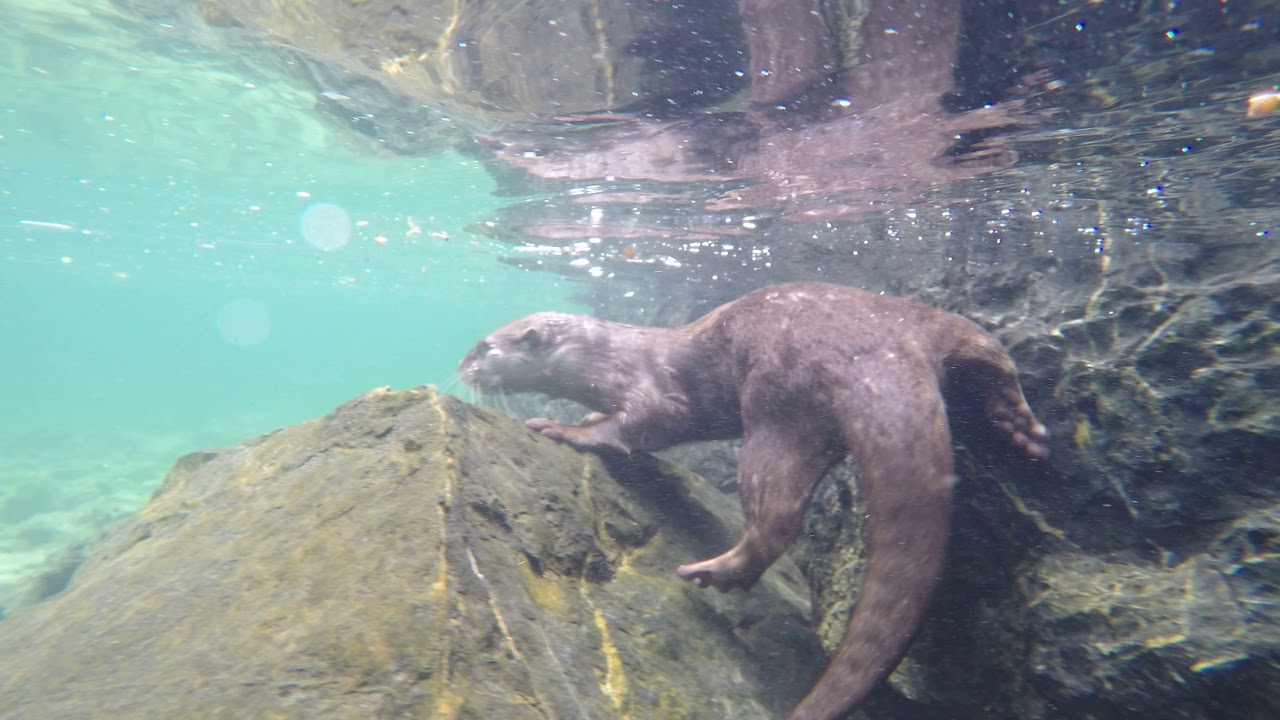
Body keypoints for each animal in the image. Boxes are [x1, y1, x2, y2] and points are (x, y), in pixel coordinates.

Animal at [458, 282, 1050, 720]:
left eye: (485, 346)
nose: (462, 369)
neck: (605, 356)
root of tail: (874, 352)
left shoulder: (649, 387)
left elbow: (644, 423)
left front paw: (565, 427)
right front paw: (583, 415)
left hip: (778, 406)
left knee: (775, 517)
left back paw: (717, 572)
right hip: (932, 325)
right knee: (988, 350)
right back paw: (1019, 426)